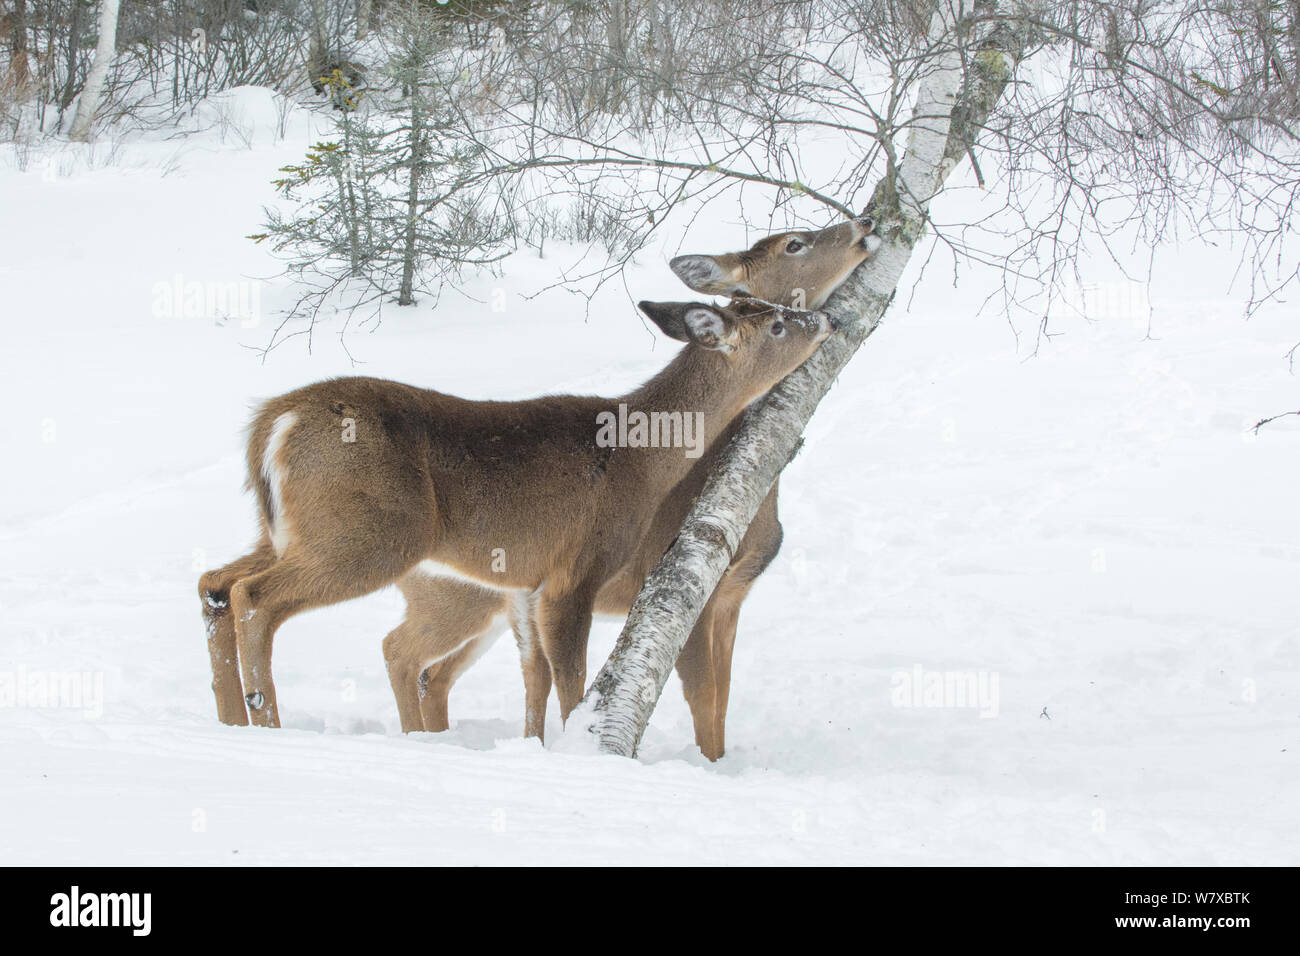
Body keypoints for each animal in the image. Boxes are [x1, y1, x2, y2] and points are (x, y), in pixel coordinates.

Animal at [198, 295, 846, 735]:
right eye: (779, 323)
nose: (830, 322)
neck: (639, 456)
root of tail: (271, 424)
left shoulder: (528, 586)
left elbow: (536, 679)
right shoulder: (576, 570)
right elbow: (571, 679)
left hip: (287, 531)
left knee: (215, 583)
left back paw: (230, 718)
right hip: (371, 534)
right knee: (257, 597)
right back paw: (264, 717)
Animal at [382, 215, 880, 759]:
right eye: (795, 243)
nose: (865, 222)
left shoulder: (732, 596)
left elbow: (725, 694)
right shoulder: (682, 590)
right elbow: (702, 694)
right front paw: (708, 766)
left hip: (499, 608)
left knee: (448, 675)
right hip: (458, 599)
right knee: (406, 655)